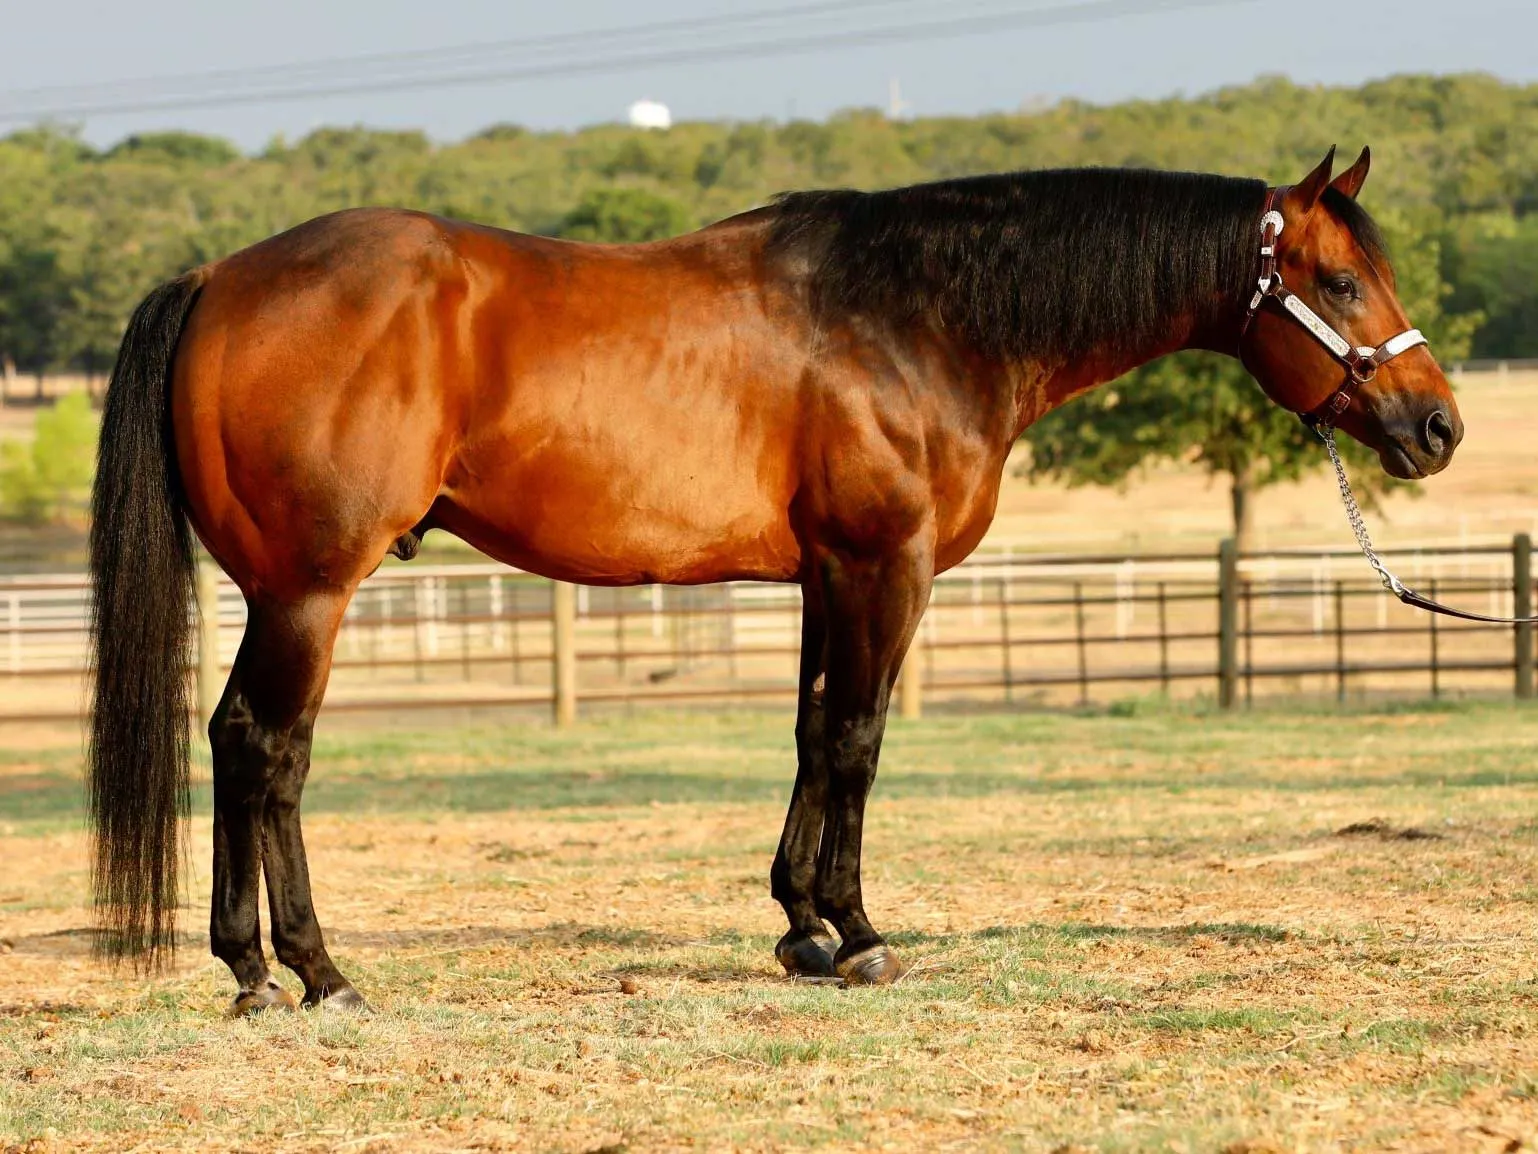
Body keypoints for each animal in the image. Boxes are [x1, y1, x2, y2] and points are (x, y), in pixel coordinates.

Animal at [88, 145, 1461, 1013]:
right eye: (1340, 281)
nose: (1434, 426)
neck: (922, 317)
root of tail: (217, 278)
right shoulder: (881, 568)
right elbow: (854, 739)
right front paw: (858, 936)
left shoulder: (821, 577)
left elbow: (807, 734)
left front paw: (799, 925)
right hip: (309, 592)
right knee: (266, 749)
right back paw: (306, 972)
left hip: (280, 594)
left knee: (237, 740)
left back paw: (256, 969)